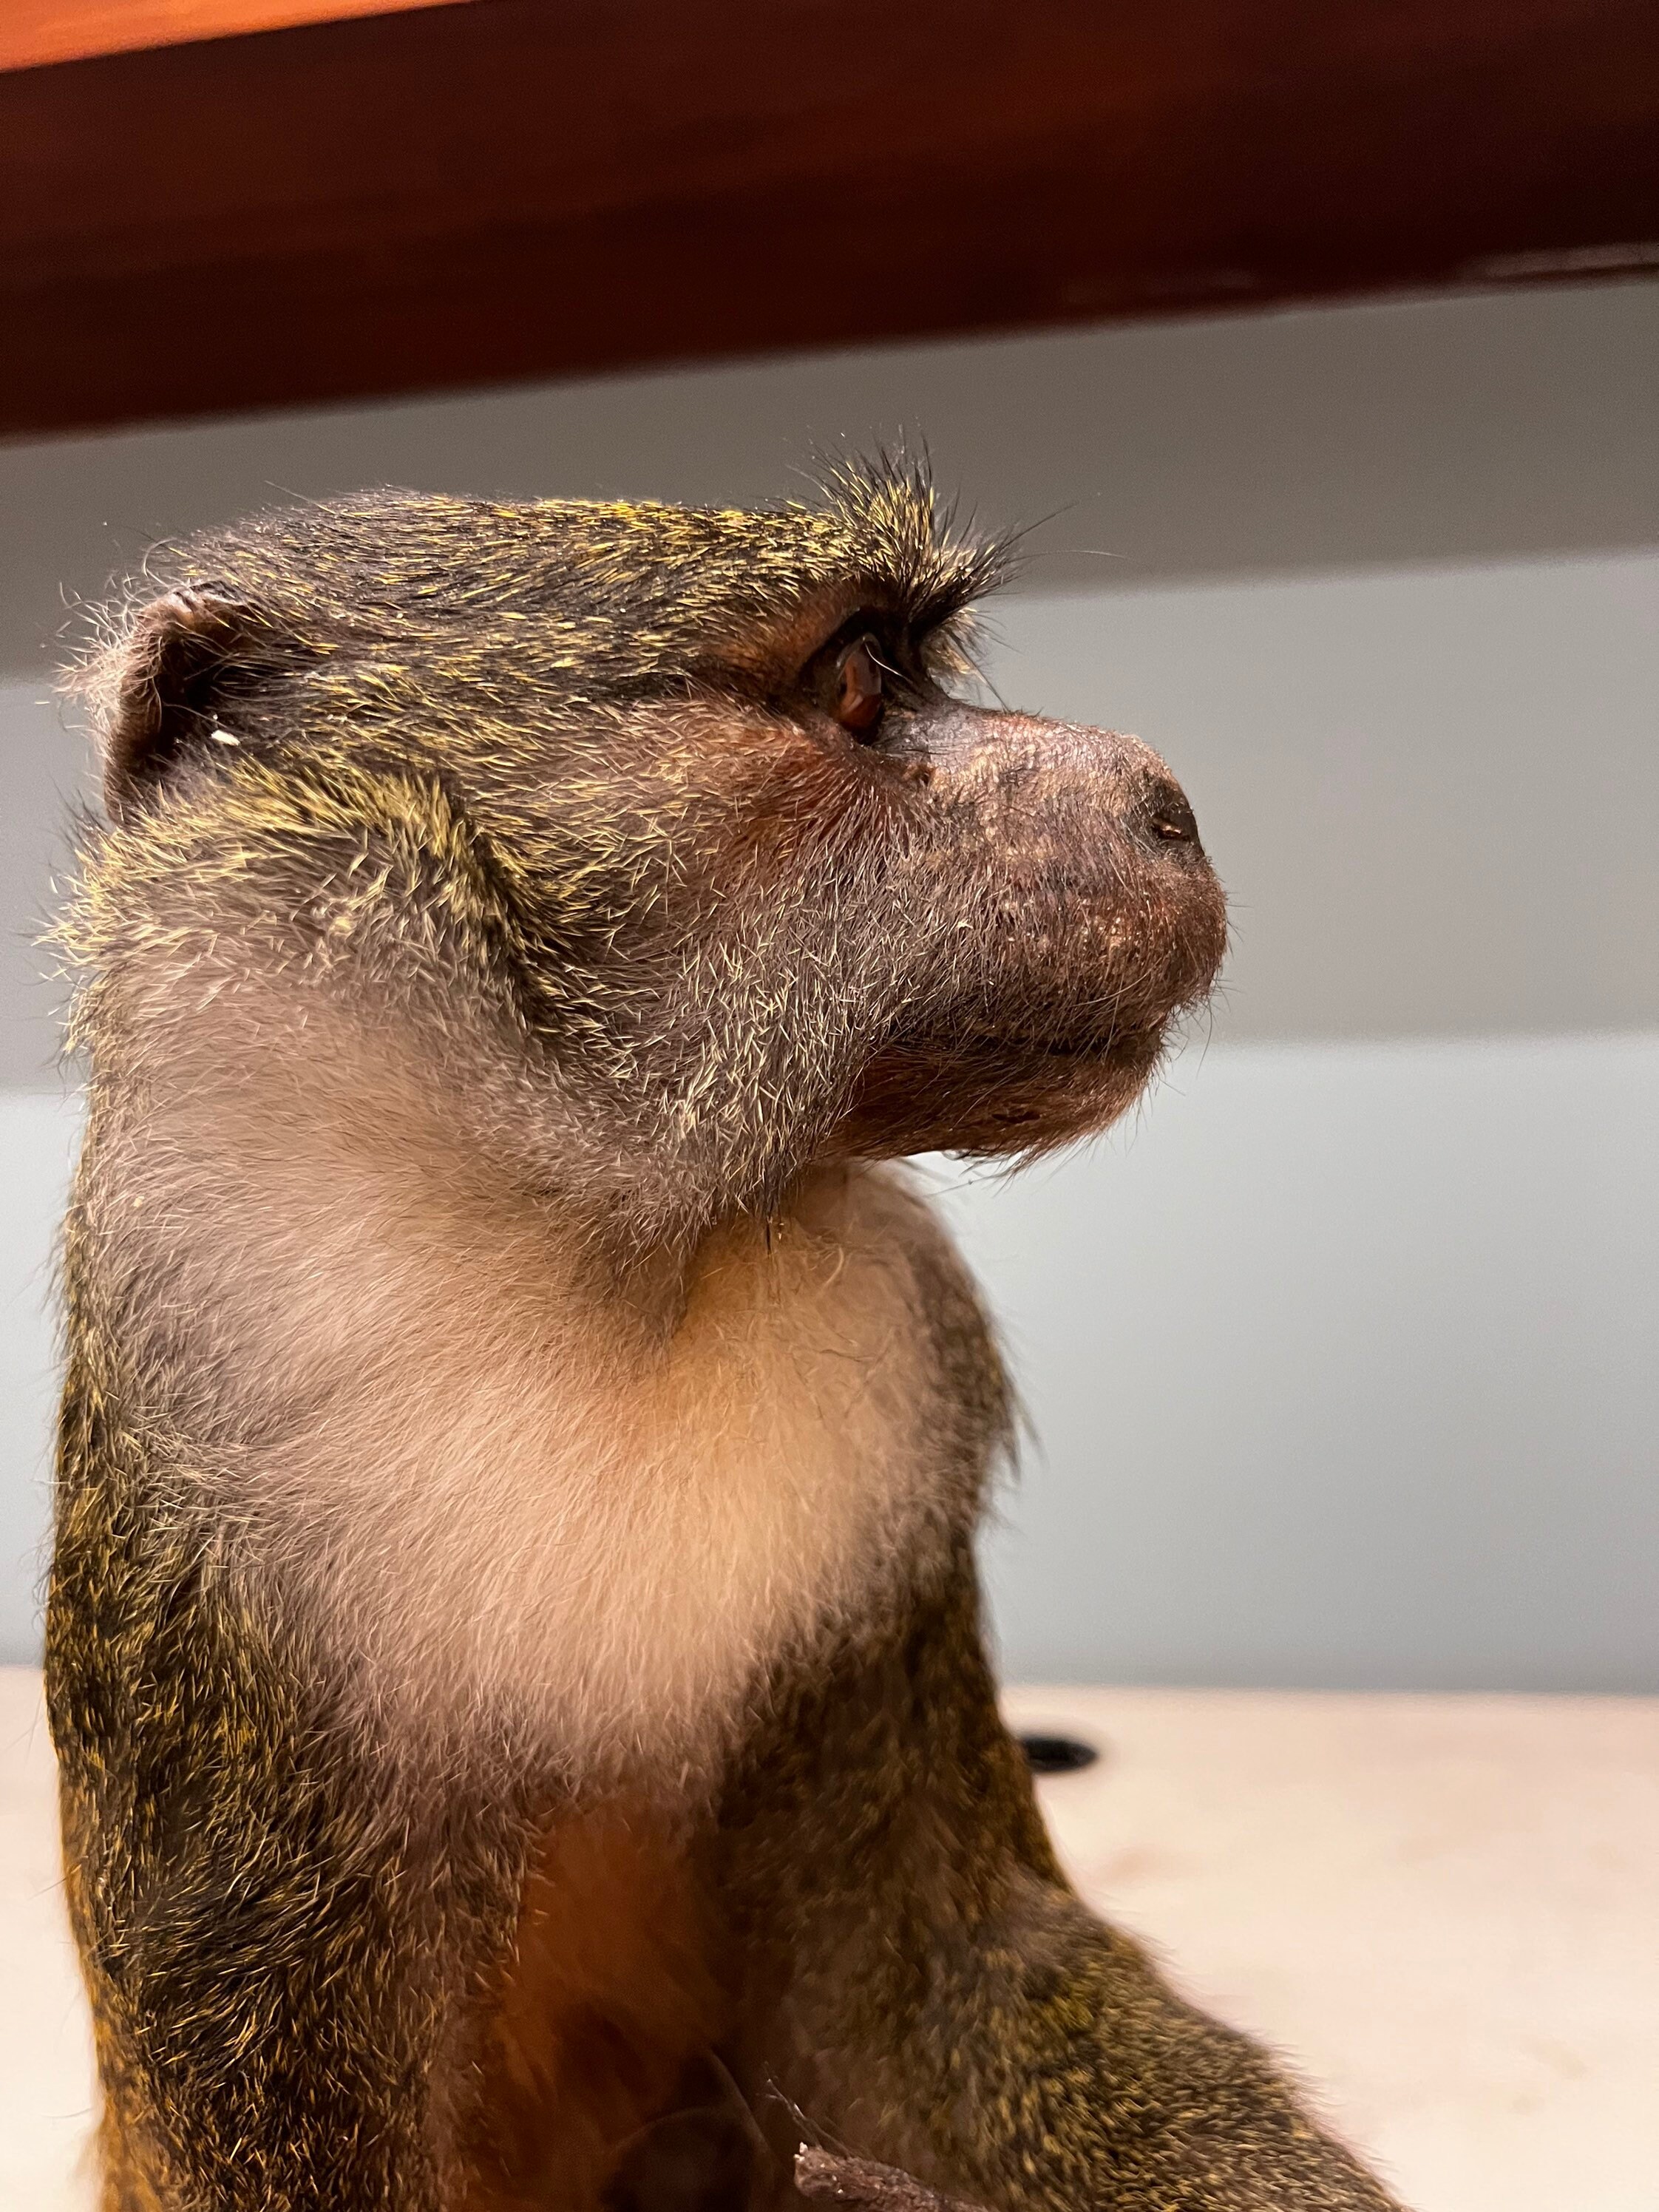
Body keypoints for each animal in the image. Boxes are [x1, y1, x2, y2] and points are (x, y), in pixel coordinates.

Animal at [46, 466, 1406, 2212]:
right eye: (859, 683)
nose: (1166, 799)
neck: (616, 1272)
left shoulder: (895, 1380)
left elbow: (950, 1962)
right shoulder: (216, 1366)